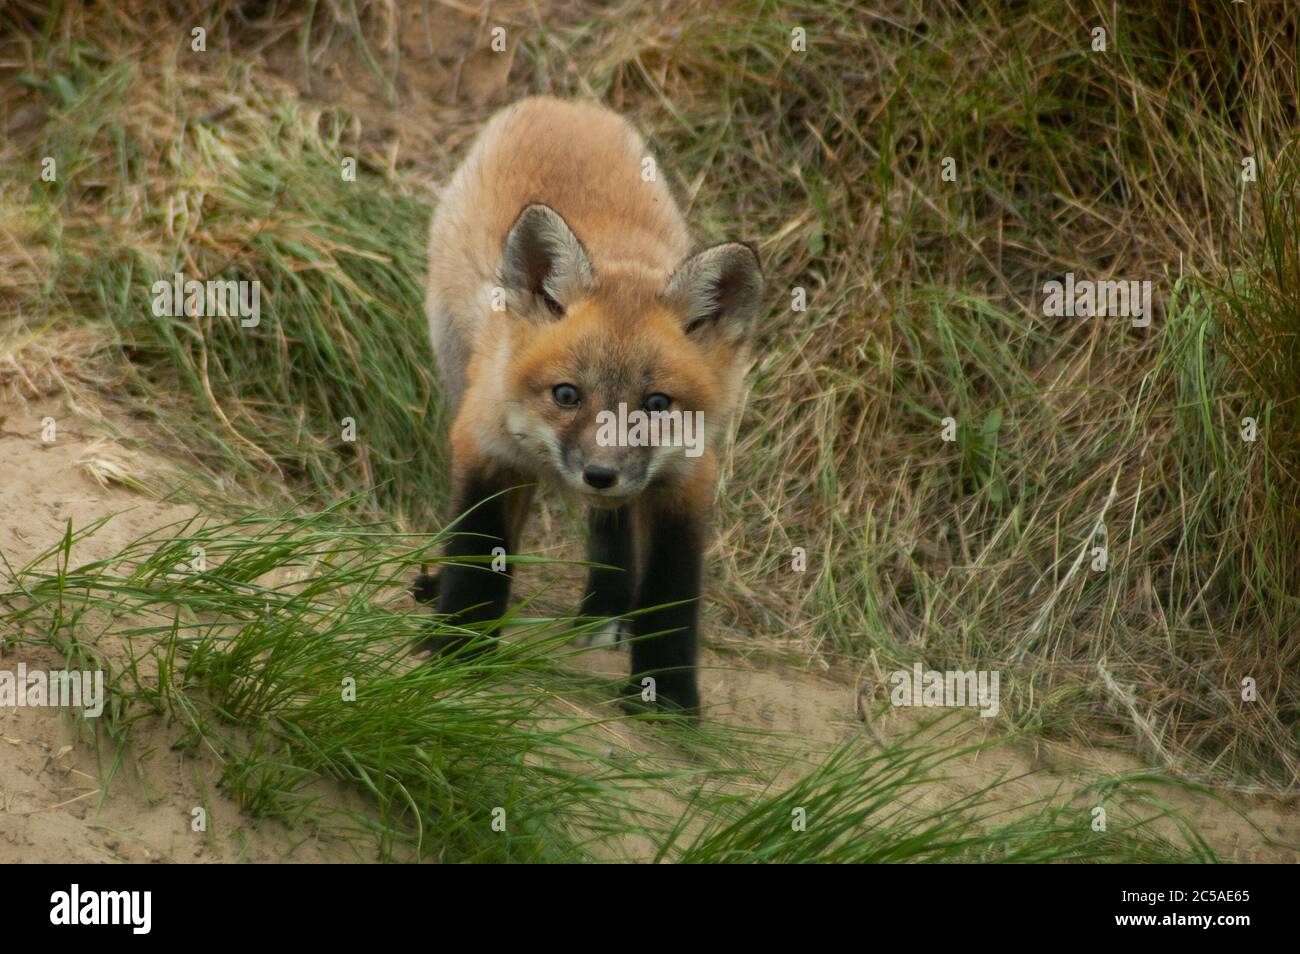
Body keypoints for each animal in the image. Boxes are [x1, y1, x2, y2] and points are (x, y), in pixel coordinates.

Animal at [417, 96, 764, 715]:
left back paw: (605, 608)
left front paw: (666, 697)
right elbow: (478, 547)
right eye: (566, 395)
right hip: (455, 368)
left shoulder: (686, 477)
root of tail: (563, 104)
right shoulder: (485, 444)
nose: (599, 474)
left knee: (612, 525)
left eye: (656, 403)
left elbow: (673, 595)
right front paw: (459, 644)